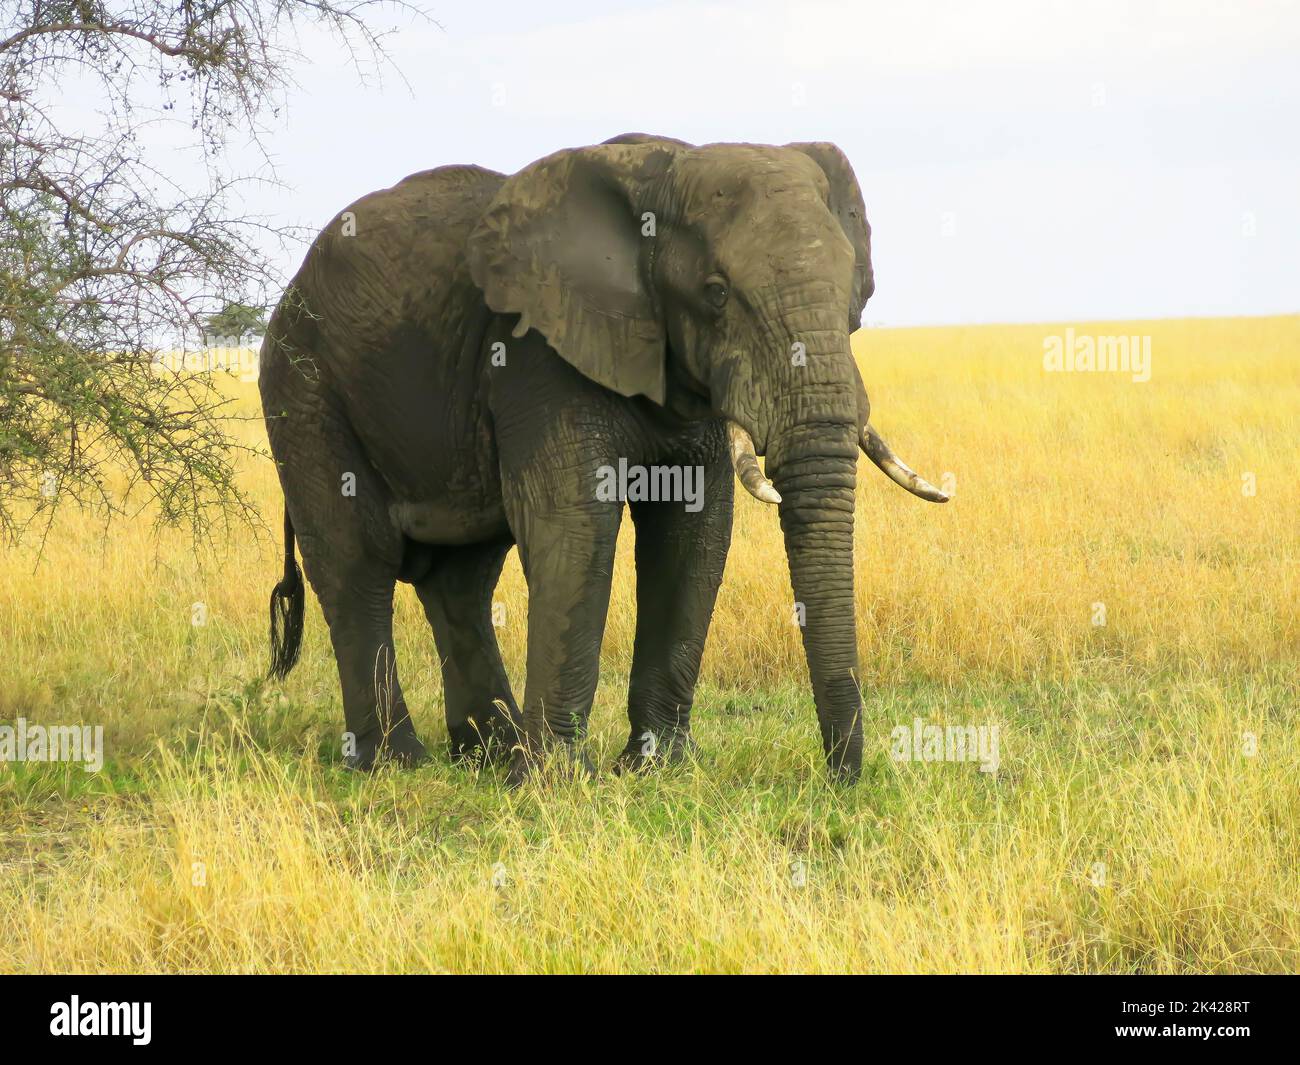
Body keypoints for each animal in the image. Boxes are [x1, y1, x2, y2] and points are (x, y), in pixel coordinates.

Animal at [258, 132, 946, 785]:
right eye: (717, 293)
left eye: (855, 293)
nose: (839, 779)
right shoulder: (535, 354)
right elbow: (574, 524)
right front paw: (555, 783)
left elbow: (694, 535)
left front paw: (656, 769)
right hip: (304, 384)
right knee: (356, 558)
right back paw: (397, 763)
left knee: (462, 578)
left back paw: (488, 755)